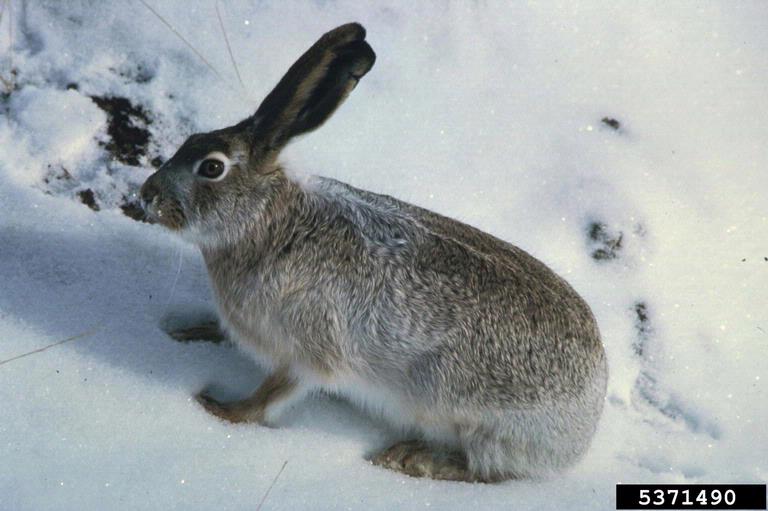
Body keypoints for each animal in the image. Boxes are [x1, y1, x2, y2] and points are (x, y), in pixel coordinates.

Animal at [139, 23, 608, 482]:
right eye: (190, 140)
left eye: (211, 167)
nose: (147, 196)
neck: (268, 222)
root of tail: (588, 421)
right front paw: (189, 331)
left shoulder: (310, 350)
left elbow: (273, 396)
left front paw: (221, 410)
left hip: (479, 422)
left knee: (484, 471)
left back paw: (408, 459)